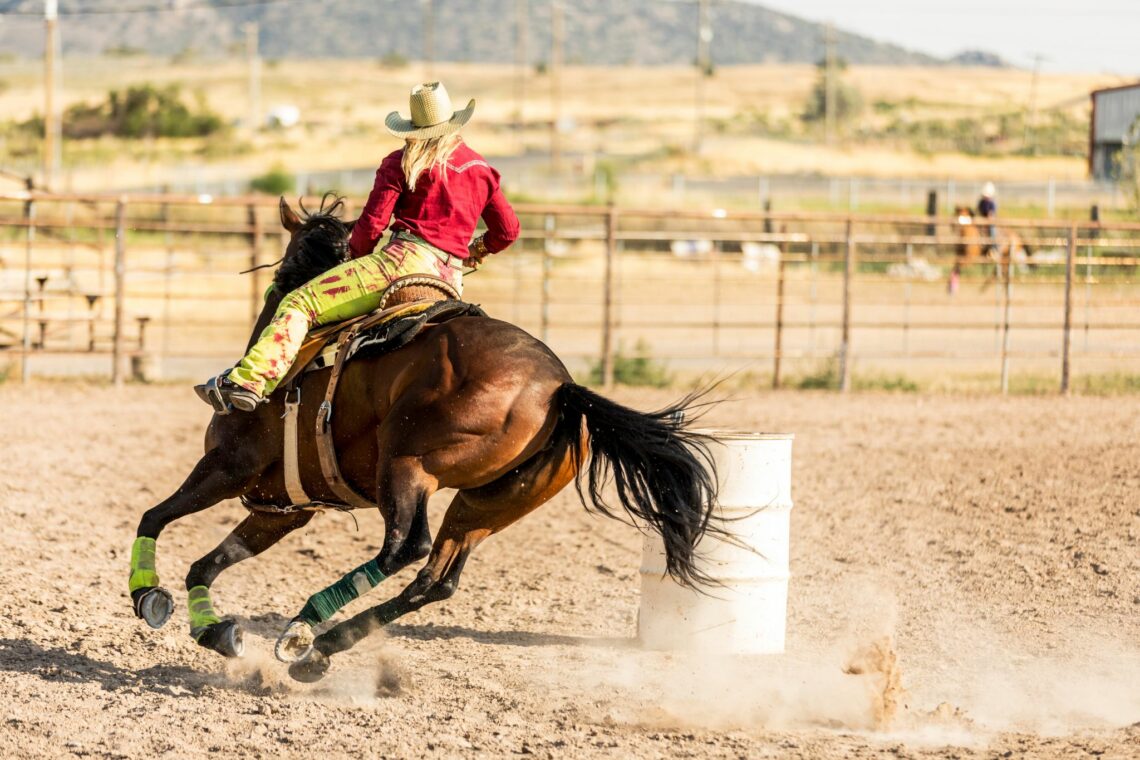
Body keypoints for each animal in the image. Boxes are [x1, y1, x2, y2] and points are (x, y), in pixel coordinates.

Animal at [128, 196, 722, 682]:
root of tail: (560, 389)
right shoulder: (282, 510)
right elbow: (206, 563)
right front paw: (216, 631)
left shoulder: (228, 466)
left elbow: (154, 517)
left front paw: (147, 596)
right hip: (489, 504)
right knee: (435, 579)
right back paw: (320, 649)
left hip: (408, 464)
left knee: (404, 547)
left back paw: (303, 627)